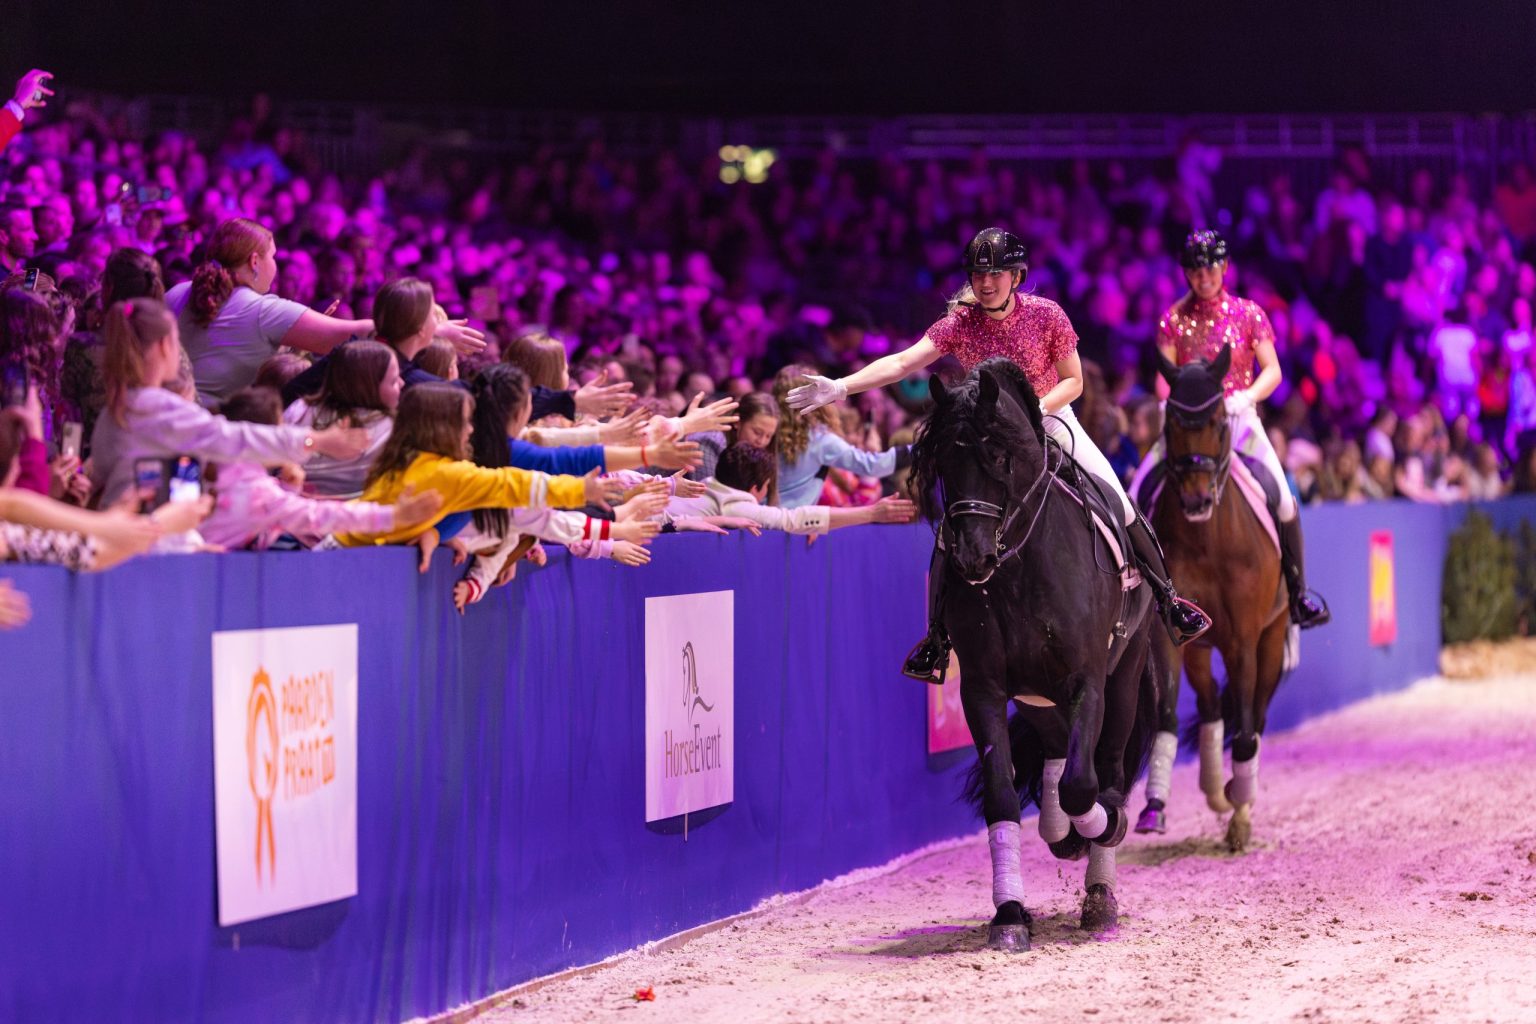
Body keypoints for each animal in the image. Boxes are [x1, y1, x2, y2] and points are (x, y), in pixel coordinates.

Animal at [911, 357, 1160, 952]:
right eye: (943, 463)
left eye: (999, 457)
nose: (972, 556)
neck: (1019, 564)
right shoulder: (983, 688)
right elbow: (1003, 796)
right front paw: (1009, 915)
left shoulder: (1088, 680)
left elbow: (1083, 787)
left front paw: (1102, 828)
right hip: (1034, 698)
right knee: (1054, 752)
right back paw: (1060, 836)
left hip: (1125, 676)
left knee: (1107, 770)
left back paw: (1100, 892)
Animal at [1132, 344, 1289, 853]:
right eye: (1170, 425)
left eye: (1221, 421)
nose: (1197, 501)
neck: (1208, 539)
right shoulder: (1168, 634)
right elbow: (1166, 715)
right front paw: (1155, 807)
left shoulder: (1244, 641)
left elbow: (1246, 729)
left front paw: (1240, 812)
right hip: (1200, 646)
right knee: (1210, 709)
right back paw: (1216, 790)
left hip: (1273, 638)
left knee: (1254, 715)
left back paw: (1237, 798)